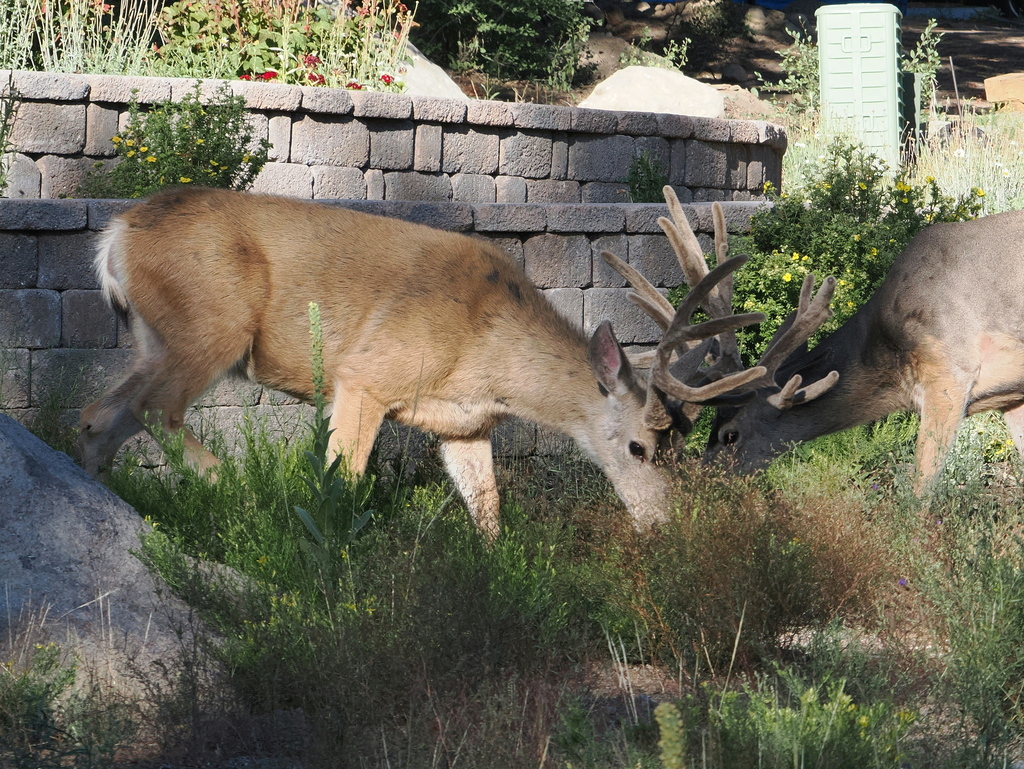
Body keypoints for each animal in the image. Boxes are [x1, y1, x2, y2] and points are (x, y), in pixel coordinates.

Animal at [78, 186, 768, 540]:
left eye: (679, 448)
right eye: (637, 448)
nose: (665, 524)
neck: (491, 358)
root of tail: (115, 236)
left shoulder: (465, 426)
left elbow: (489, 512)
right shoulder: (364, 375)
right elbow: (343, 480)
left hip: (155, 338)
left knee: (98, 415)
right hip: (210, 325)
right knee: (152, 407)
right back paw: (240, 491)